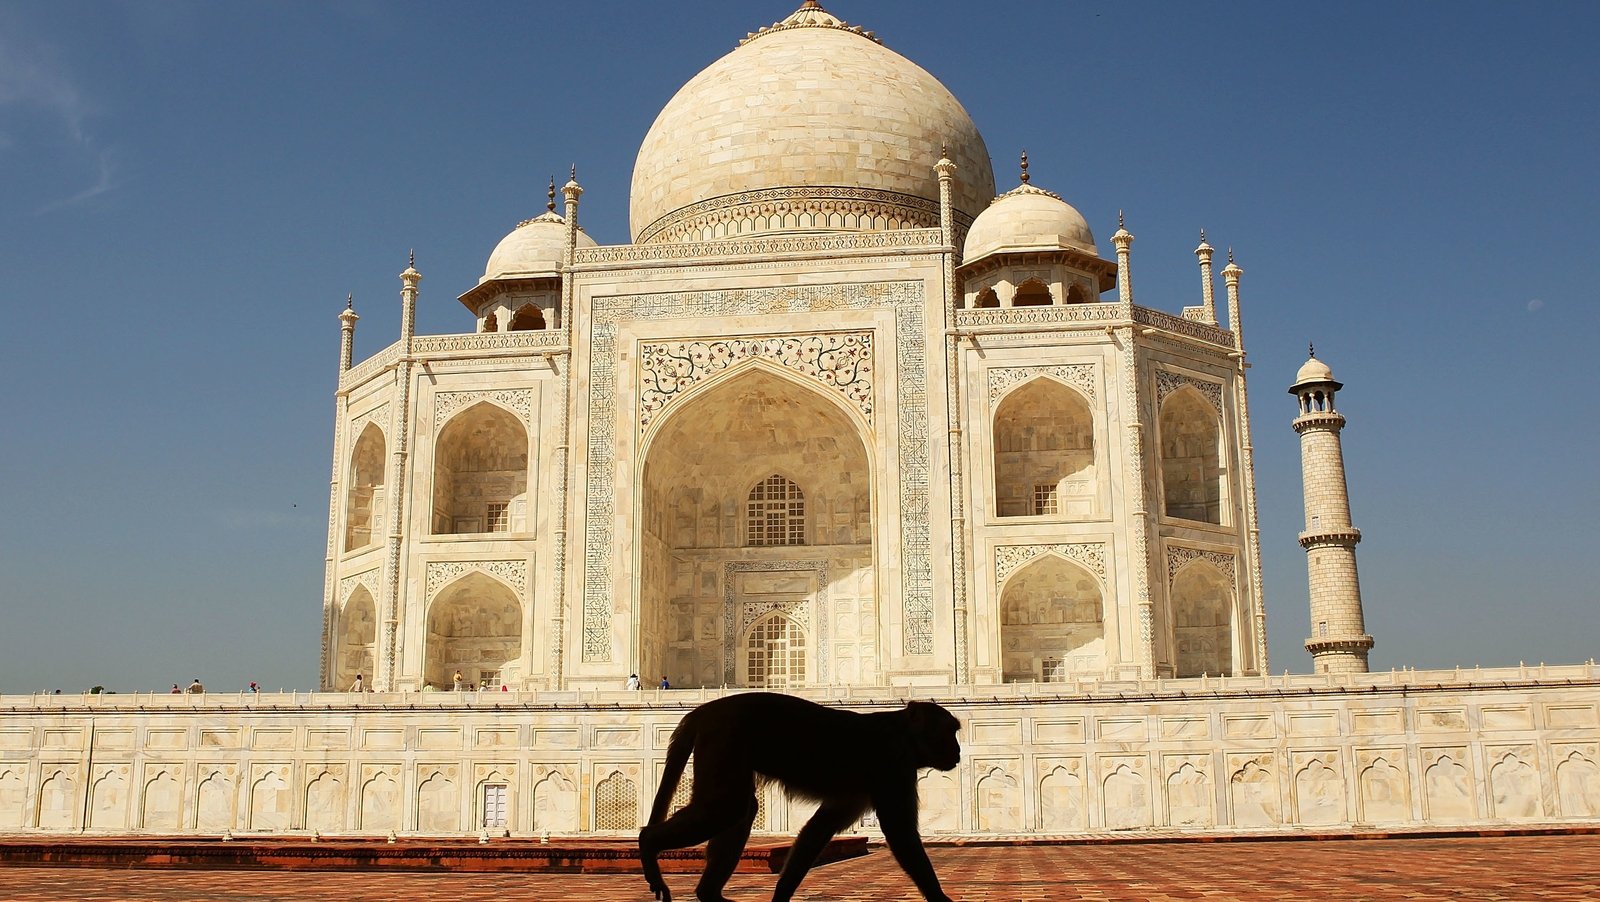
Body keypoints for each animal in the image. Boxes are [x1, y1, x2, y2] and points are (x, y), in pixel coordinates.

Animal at [638, 692, 961, 902]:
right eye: (950, 732)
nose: (957, 750)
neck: (903, 732)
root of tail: (702, 712)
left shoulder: (855, 793)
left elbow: (818, 829)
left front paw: (781, 896)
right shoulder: (894, 763)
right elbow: (901, 832)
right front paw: (940, 899)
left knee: (741, 808)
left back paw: (709, 895)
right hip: (725, 739)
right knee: (727, 807)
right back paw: (647, 843)